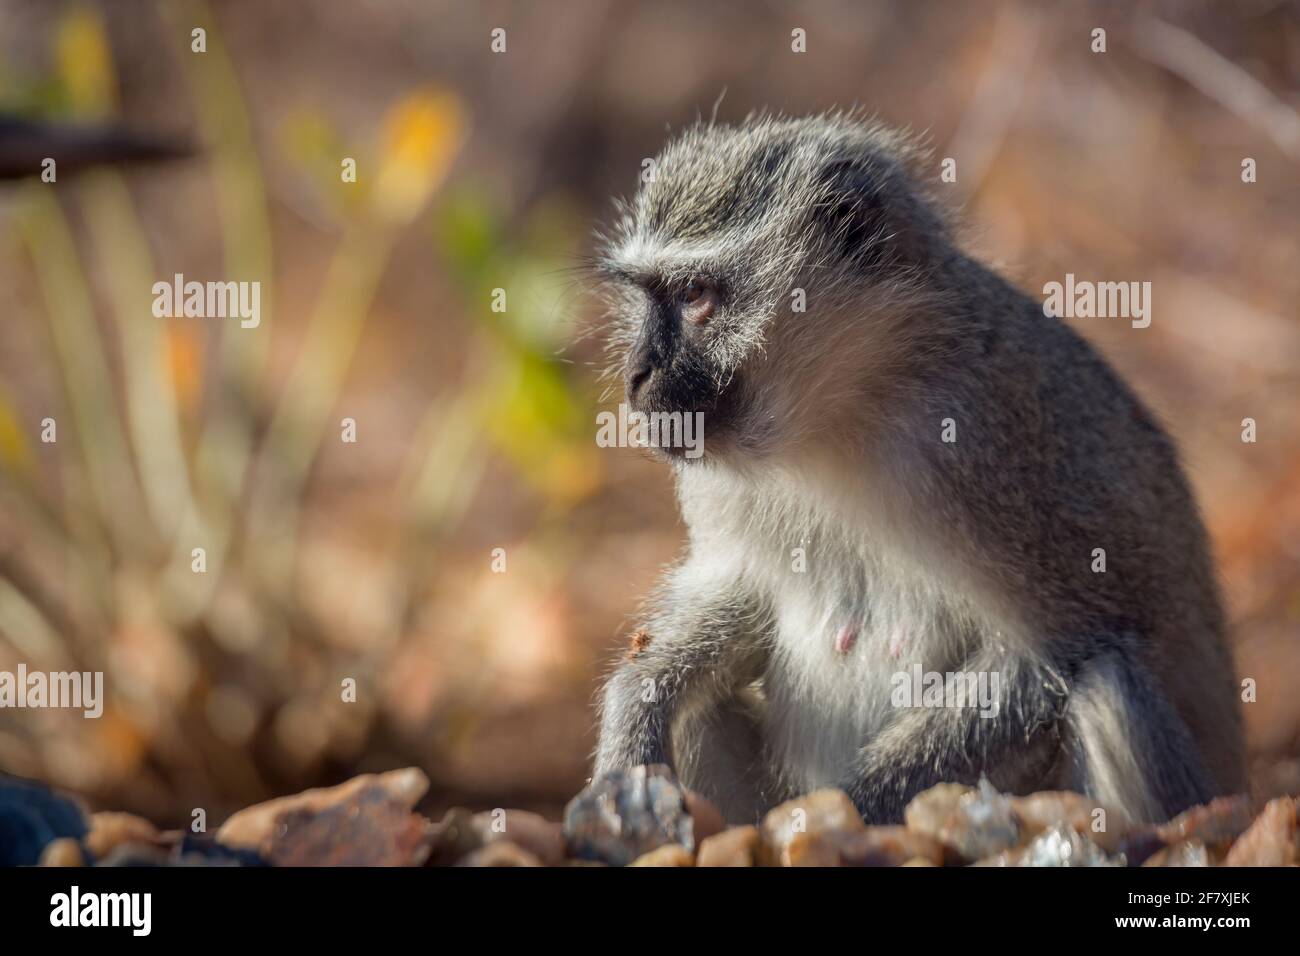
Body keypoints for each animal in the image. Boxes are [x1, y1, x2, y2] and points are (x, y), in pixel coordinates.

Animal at [591, 111, 1245, 828]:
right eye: (649, 295)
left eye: (695, 296)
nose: (637, 377)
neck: (848, 409)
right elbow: (735, 594)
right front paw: (637, 703)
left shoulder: (989, 440)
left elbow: (1050, 655)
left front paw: (851, 809)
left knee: (1109, 685)